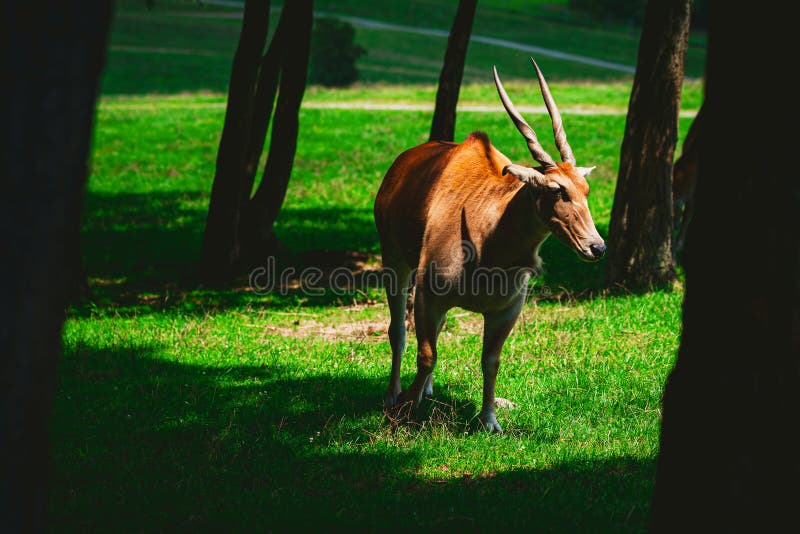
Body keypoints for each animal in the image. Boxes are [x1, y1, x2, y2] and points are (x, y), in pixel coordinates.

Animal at [374, 59, 605, 432]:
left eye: (585, 189)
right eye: (557, 190)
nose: (597, 247)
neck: (488, 241)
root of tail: (402, 163)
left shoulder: (504, 312)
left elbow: (490, 360)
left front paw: (488, 420)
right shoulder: (428, 295)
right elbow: (426, 354)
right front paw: (407, 406)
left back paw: (428, 390)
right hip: (394, 261)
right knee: (398, 330)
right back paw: (395, 394)